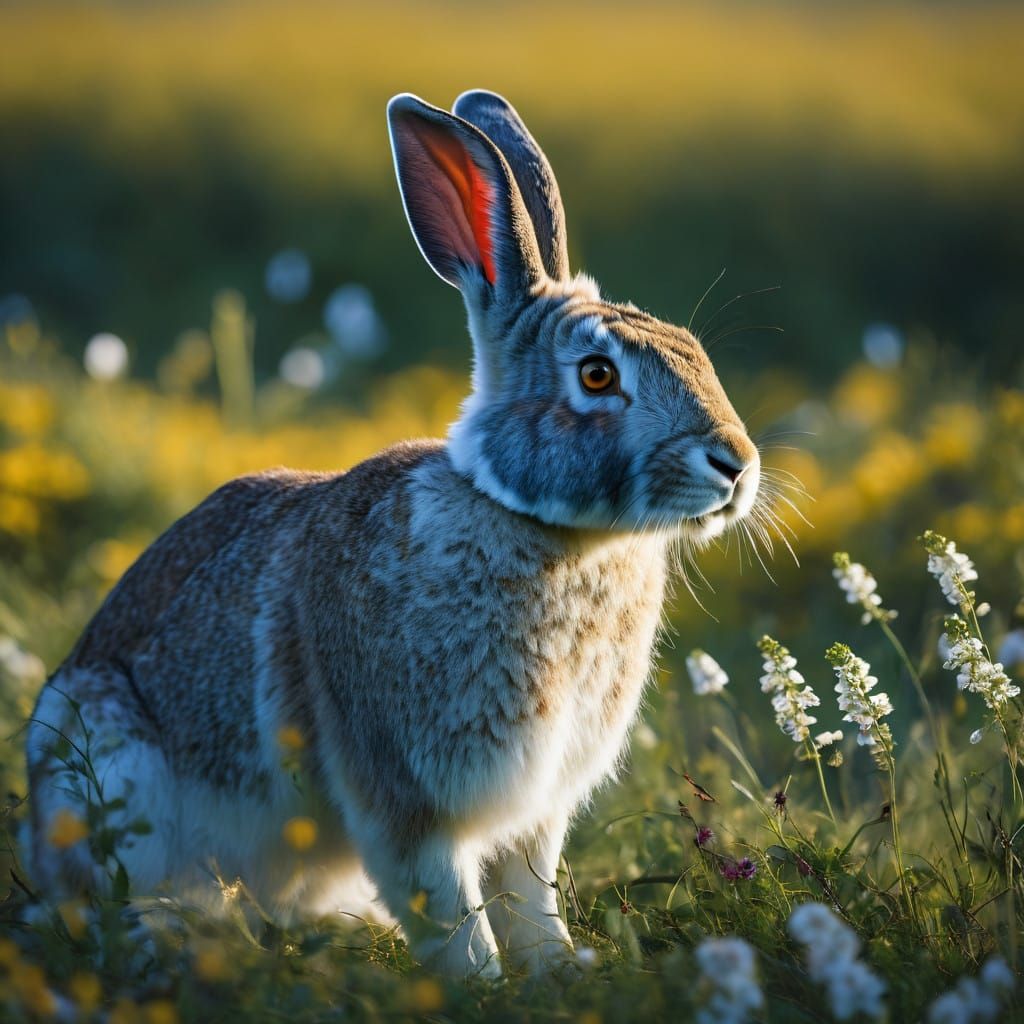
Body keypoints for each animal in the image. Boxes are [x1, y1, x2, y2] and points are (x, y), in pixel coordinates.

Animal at [25, 89, 761, 979]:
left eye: (692, 350)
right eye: (596, 375)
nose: (737, 465)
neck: (552, 533)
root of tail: (33, 831)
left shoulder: (534, 811)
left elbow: (531, 896)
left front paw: (559, 972)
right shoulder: (401, 791)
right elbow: (446, 905)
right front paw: (483, 984)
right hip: (107, 776)